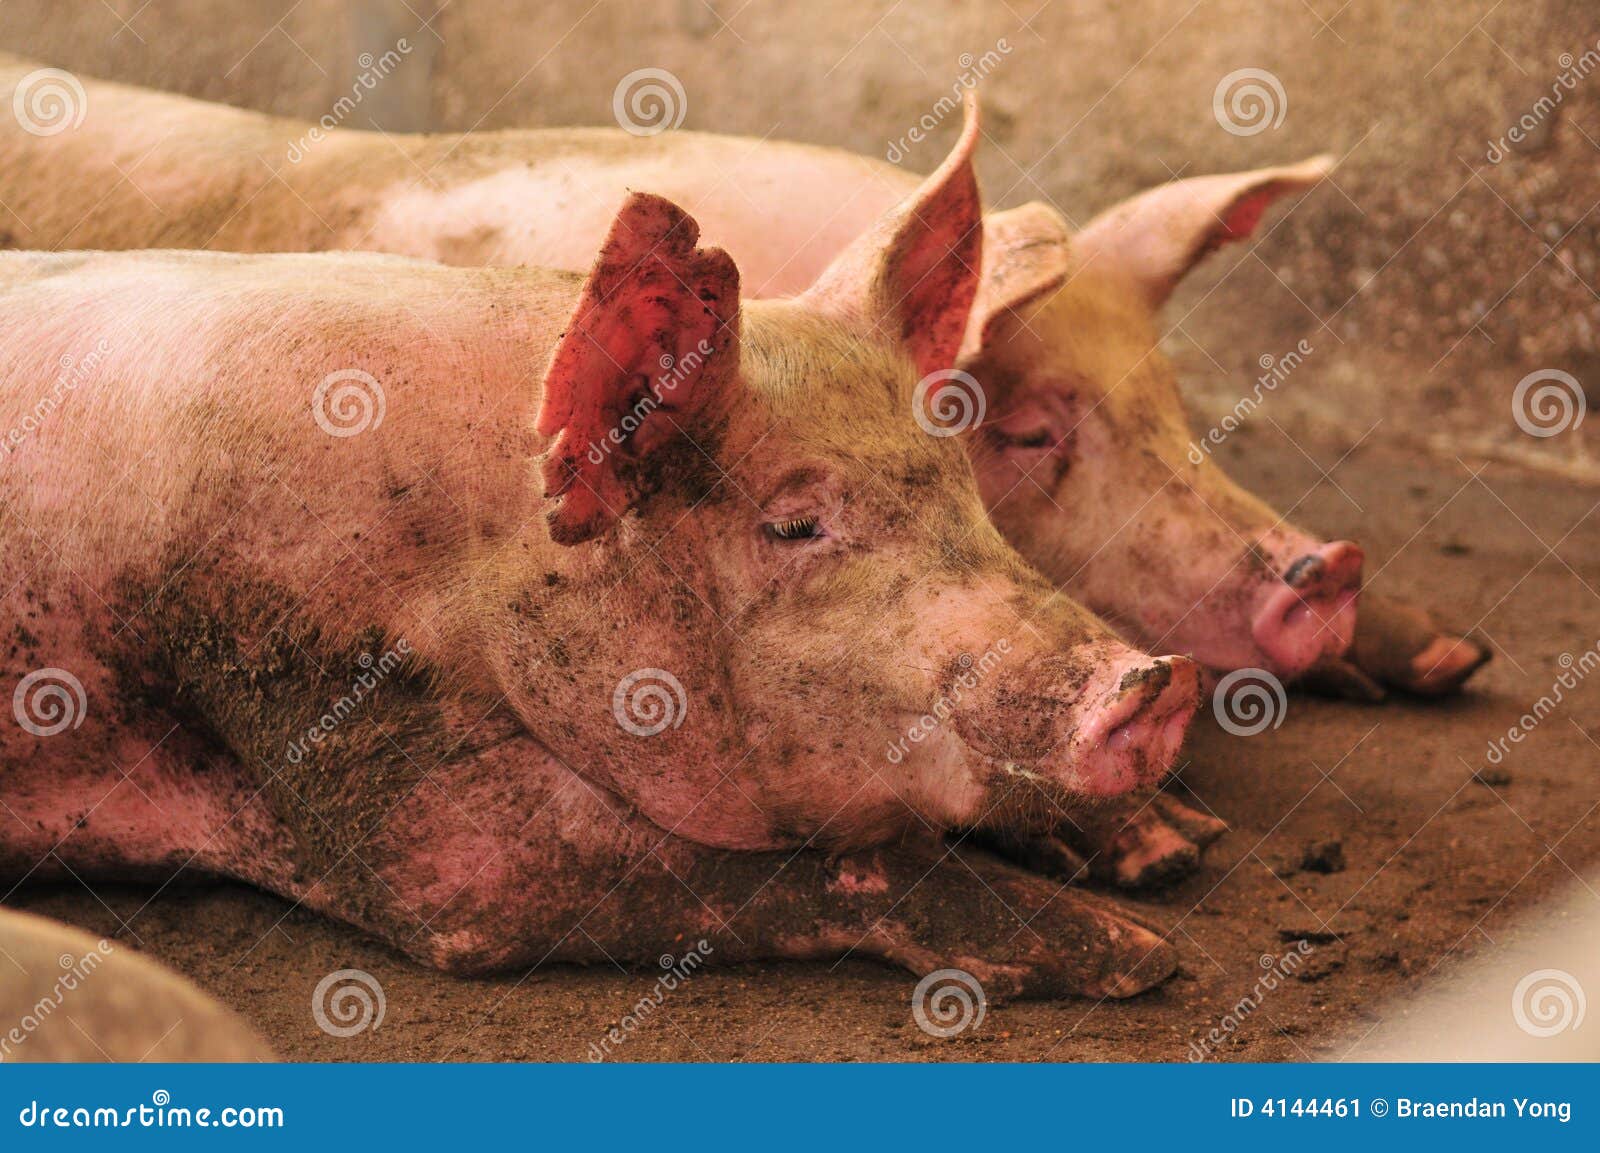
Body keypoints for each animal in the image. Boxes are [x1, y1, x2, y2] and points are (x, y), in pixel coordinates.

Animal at [0, 110, 1200, 998]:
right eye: (796, 524)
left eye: (960, 490)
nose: (1155, 679)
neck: (477, 557)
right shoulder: (347, 735)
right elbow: (774, 864)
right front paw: (1140, 955)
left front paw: (1176, 848)